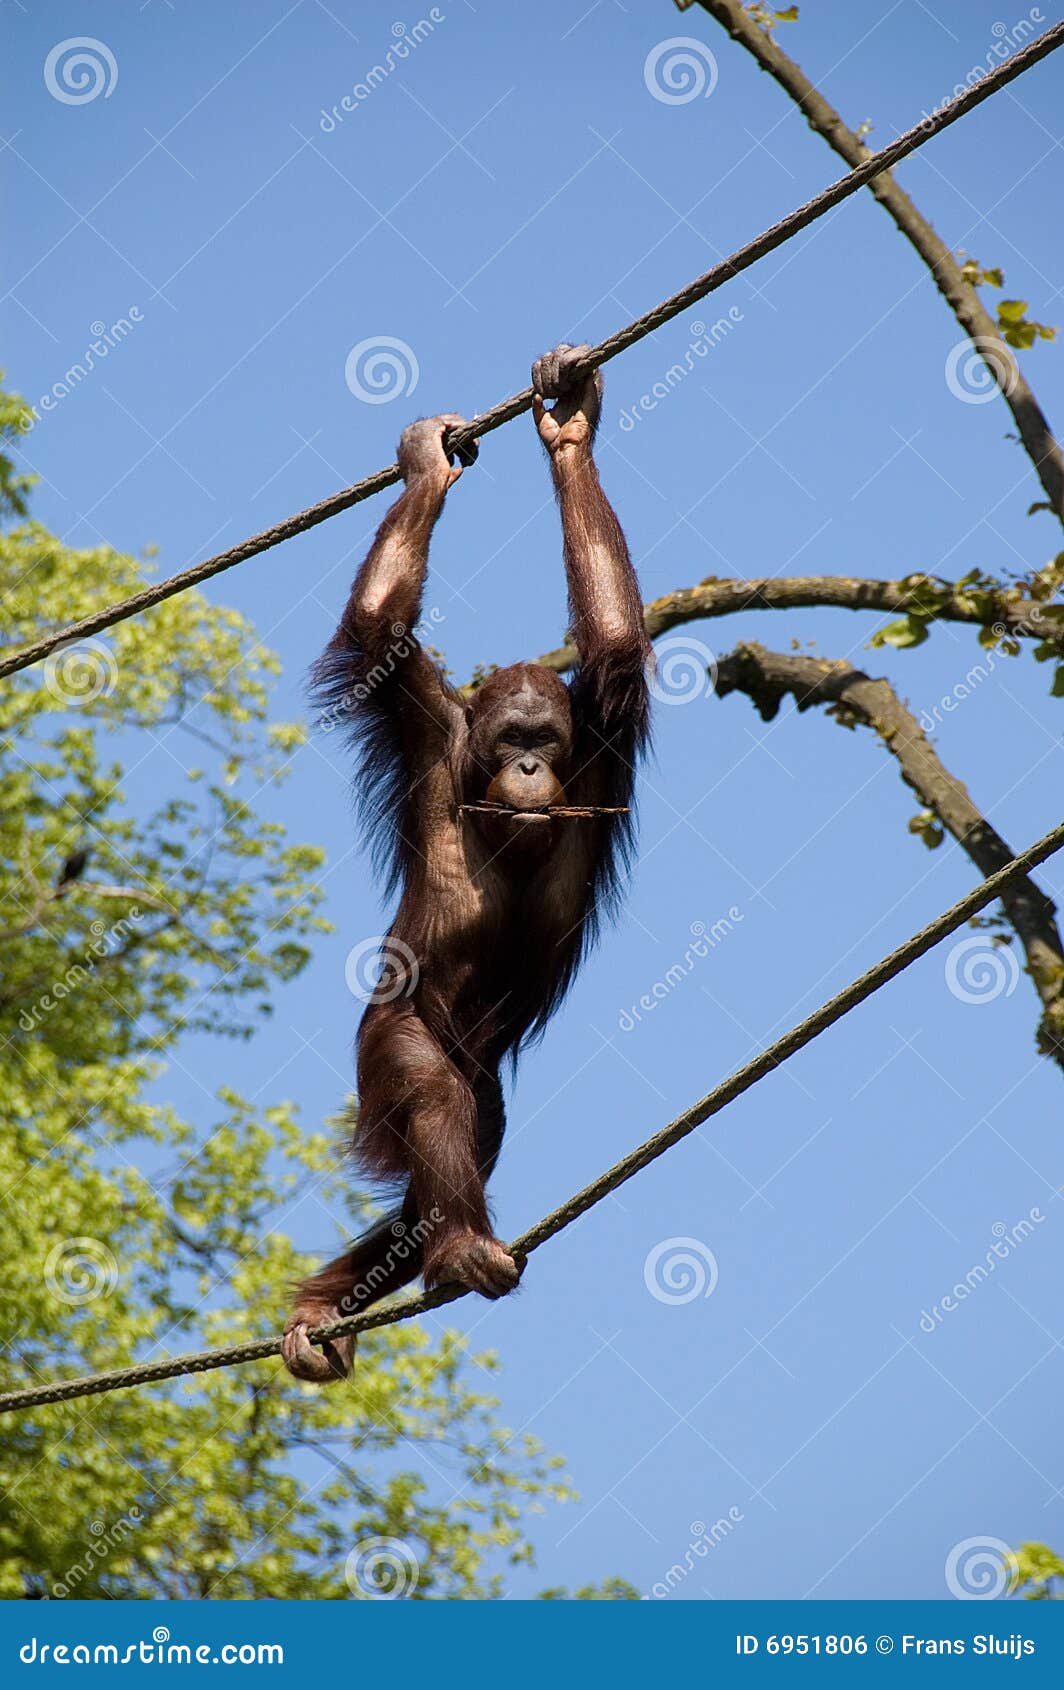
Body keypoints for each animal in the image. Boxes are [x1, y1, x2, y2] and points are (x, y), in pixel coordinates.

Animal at [283, 344, 651, 1381]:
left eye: (545, 742)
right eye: (510, 741)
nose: (528, 768)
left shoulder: (602, 731)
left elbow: (615, 642)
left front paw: (570, 425)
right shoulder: (419, 723)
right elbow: (378, 628)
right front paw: (425, 469)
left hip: (485, 1080)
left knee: (452, 1160)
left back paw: (339, 1298)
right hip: (395, 1034)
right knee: (433, 1098)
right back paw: (455, 1254)